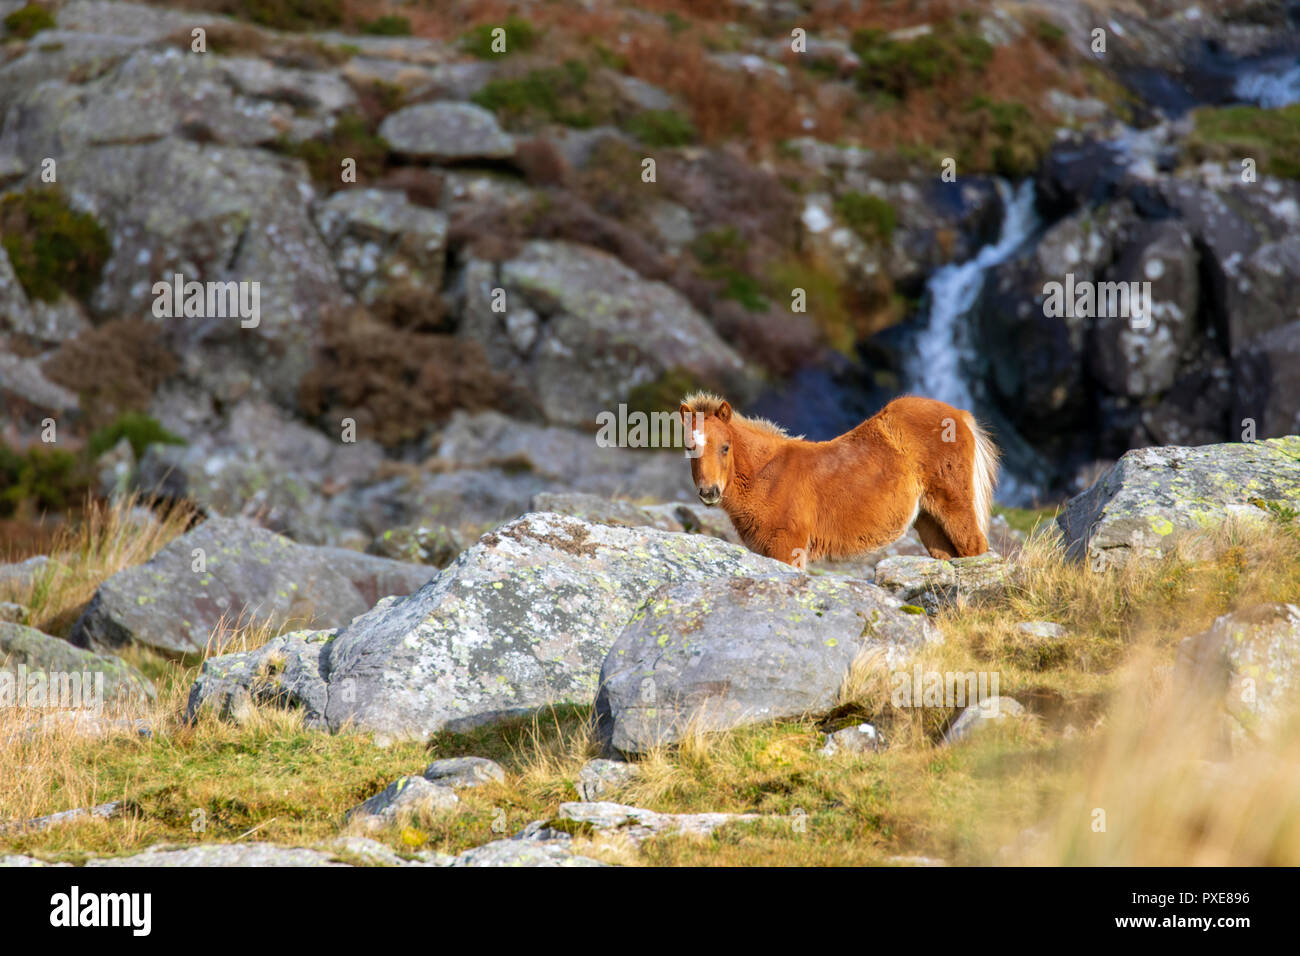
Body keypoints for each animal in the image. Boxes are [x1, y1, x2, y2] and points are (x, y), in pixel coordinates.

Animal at [679, 392, 999, 566]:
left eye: (725, 447)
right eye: (689, 447)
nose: (709, 492)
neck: (768, 474)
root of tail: (959, 414)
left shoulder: (789, 547)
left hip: (955, 506)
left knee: (975, 549)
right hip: (930, 520)